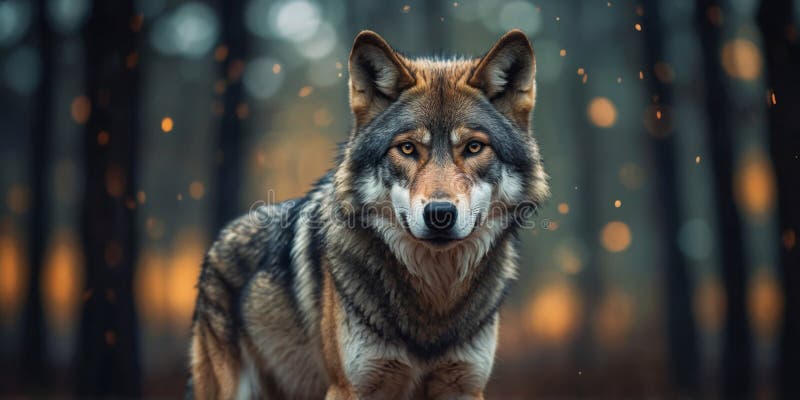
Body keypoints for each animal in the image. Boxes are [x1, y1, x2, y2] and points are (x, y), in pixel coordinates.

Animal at [187, 29, 549, 399]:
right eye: (407, 148)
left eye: (474, 147)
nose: (440, 214)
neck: (434, 299)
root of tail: (219, 239)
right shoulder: (350, 387)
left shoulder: (464, 386)